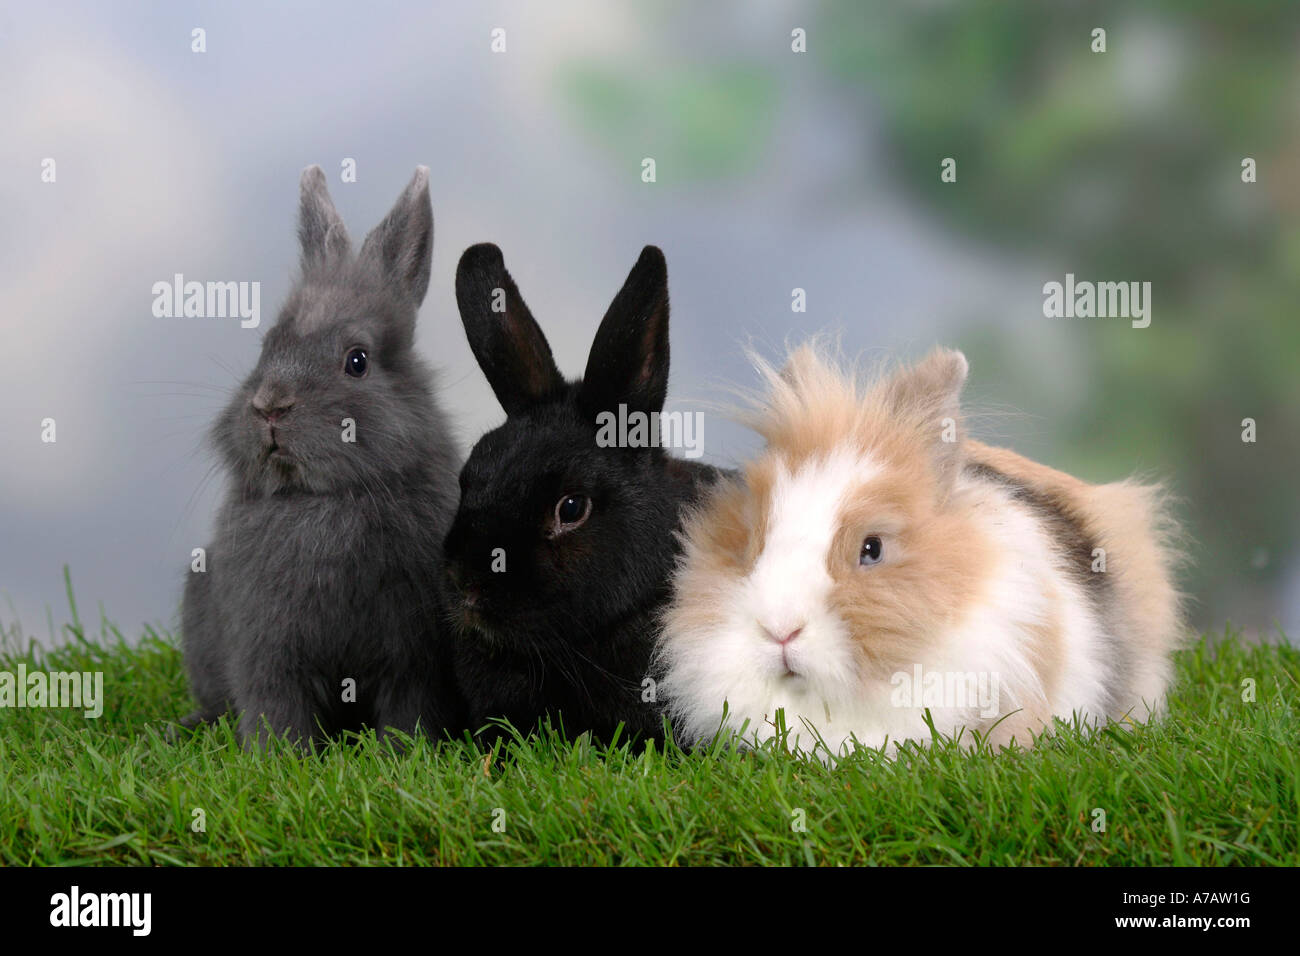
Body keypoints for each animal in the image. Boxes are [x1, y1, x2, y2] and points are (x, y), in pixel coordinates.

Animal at [178, 165, 464, 747]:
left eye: (357, 360)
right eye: (268, 346)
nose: (270, 406)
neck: (323, 498)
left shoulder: (414, 658)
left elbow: (409, 711)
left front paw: (403, 755)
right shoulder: (268, 652)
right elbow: (276, 708)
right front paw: (276, 757)